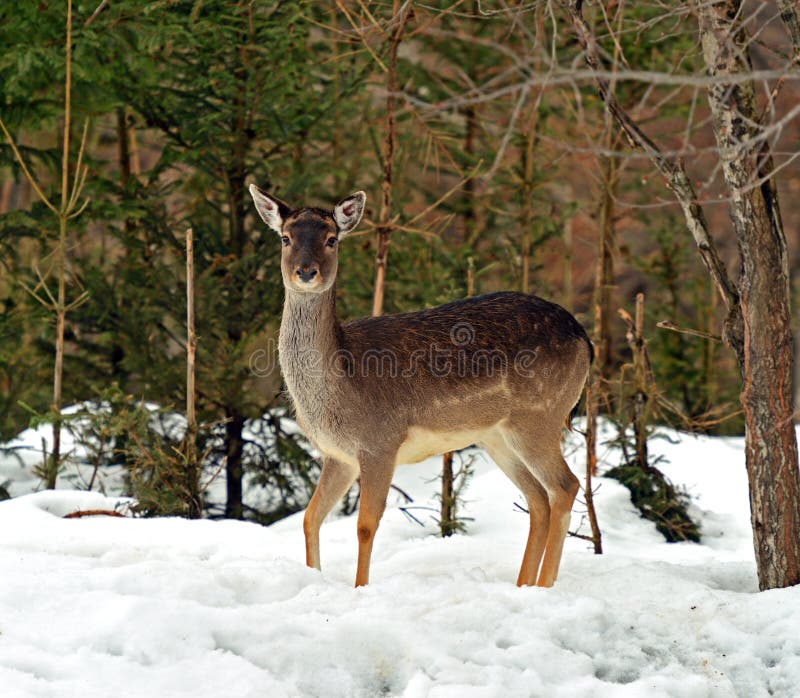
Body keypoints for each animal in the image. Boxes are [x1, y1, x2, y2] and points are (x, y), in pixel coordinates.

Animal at [249, 184, 593, 588]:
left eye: (332, 239)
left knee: (565, 486)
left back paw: (542, 585)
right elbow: (310, 517)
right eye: (285, 238)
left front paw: (360, 588)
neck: (338, 388)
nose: (306, 271)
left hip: (540, 415)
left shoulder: (380, 441)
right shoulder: (338, 455)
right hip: (497, 435)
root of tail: (585, 339)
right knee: (538, 498)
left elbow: (365, 526)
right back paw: (522, 584)